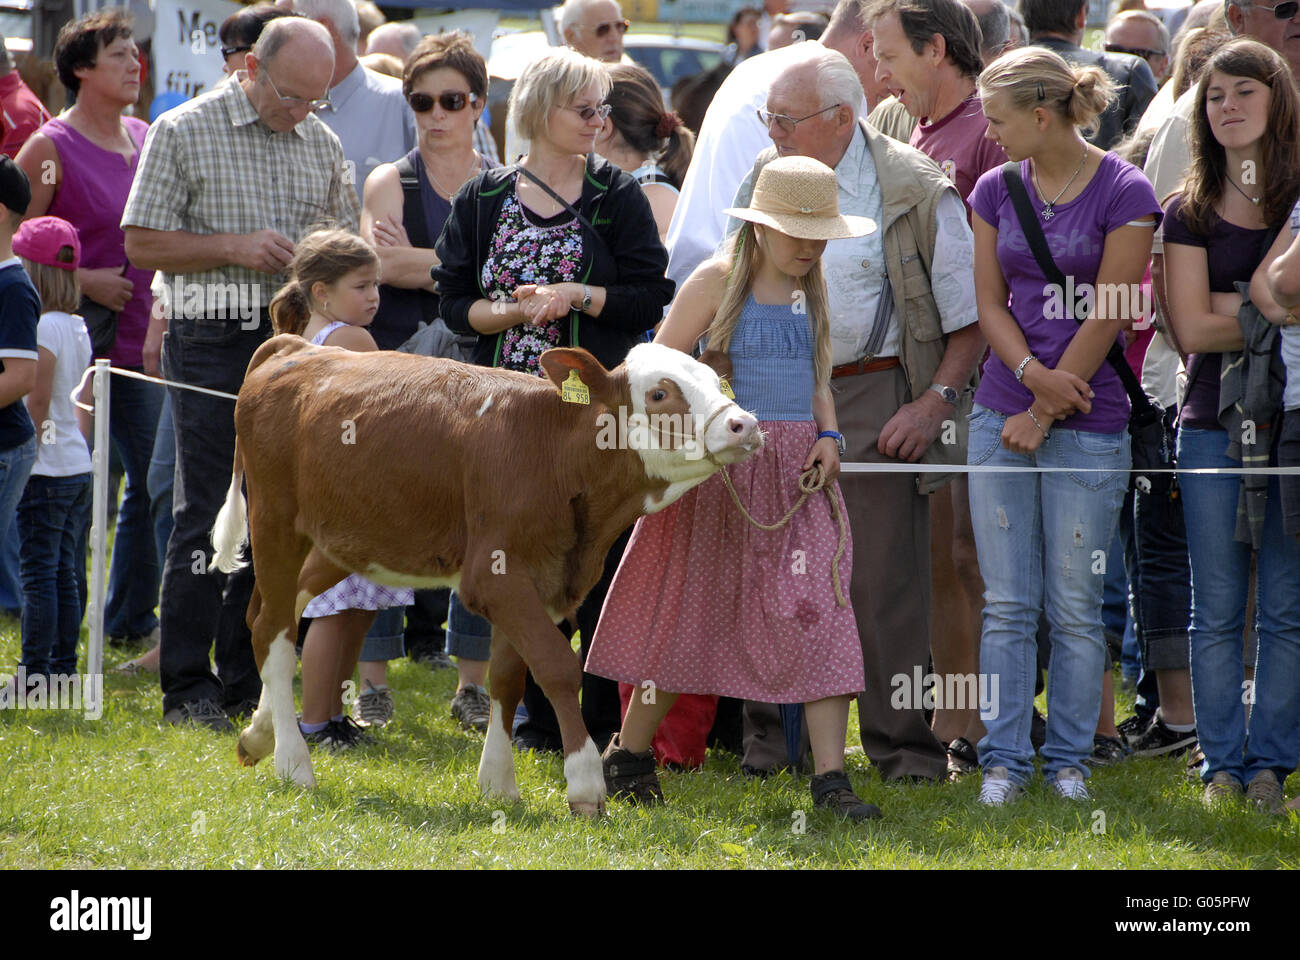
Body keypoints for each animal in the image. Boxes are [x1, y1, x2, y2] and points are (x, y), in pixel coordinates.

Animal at [208, 340, 759, 811]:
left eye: (719, 382)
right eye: (660, 393)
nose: (745, 425)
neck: (556, 454)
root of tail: (298, 347)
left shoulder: (539, 581)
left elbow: (508, 678)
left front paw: (498, 781)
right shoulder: (495, 577)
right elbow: (557, 666)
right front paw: (584, 784)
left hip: (340, 540)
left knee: (270, 615)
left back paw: (258, 735)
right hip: (275, 520)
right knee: (275, 631)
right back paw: (293, 762)